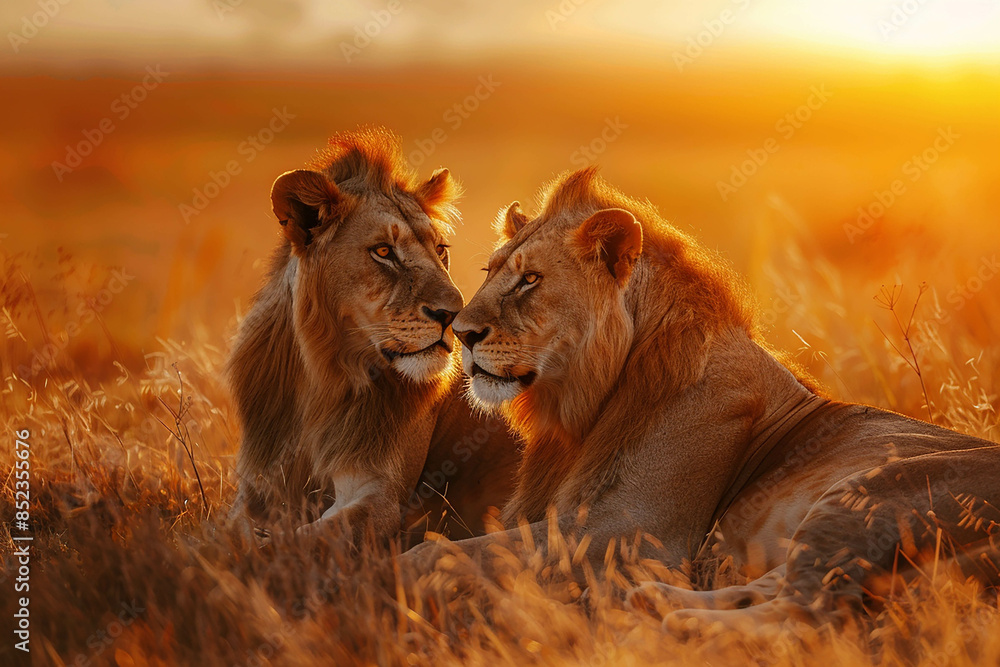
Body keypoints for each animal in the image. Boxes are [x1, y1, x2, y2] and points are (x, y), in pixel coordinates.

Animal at [227, 127, 517, 546]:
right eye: (383, 251)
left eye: (440, 249)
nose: (454, 316)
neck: (323, 379)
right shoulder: (255, 485)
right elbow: (222, 534)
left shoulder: (379, 493)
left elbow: (298, 540)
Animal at [401, 166, 1000, 629]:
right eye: (489, 271)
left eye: (530, 281)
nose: (462, 332)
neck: (588, 405)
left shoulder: (629, 534)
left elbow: (435, 552)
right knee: (780, 588)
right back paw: (654, 601)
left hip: (871, 490)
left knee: (807, 616)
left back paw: (675, 621)